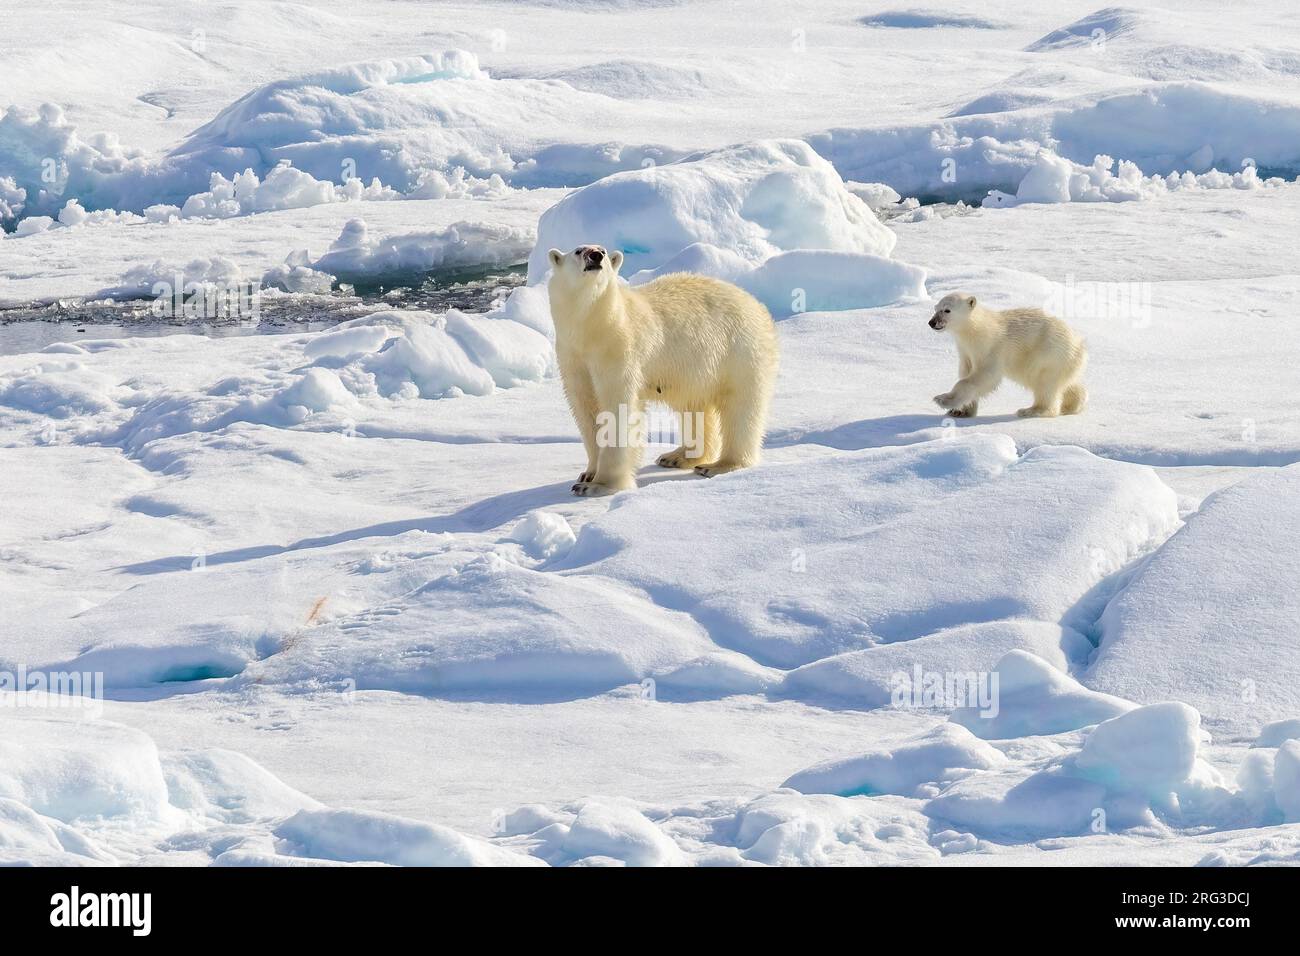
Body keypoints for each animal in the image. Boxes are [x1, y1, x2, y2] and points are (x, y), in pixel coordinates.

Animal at [547, 244, 779, 496]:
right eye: (579, 251)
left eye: (604, 251)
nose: (596, 256)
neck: (592, 328)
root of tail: (757, 304)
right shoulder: (572, 355)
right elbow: (586, 407)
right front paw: (587, 474)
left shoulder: (618, 349)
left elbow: (617, 408)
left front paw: (599, 485)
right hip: (698, 370)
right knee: (694, 407)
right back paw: (677, 456)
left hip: (740, 352)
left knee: (741, 408)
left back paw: (720, 465)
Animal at [927, 292, 1087, 419]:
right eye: (935, 308)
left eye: (947, 310)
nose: (932, 322)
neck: (975, 330)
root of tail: (1080, 346)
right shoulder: (965, 350)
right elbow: (966, 372)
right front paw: (961, 411)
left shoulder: (990, 347)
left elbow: (985, 376)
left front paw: (943, 400)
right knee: (1066, 383)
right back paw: (1072, 404)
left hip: (1049, 354)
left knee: (1045, 383)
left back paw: (1031, 410)